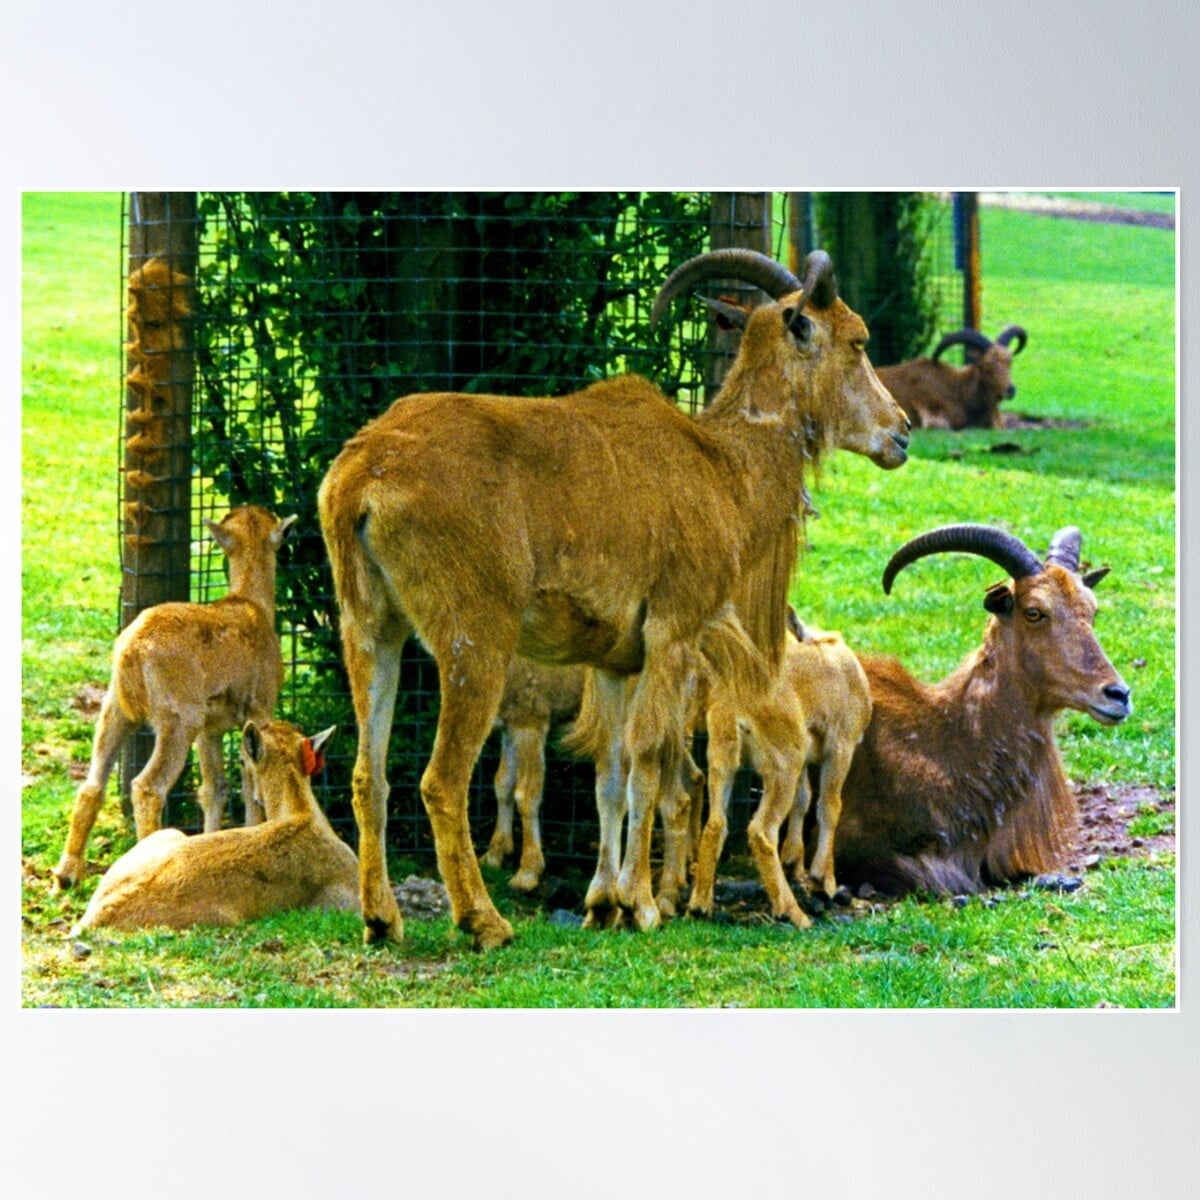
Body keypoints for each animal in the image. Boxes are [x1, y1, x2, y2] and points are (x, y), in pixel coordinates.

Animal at [52, 506, 296, 890]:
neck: (251, 606)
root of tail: (133, 652)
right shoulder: (259, 710)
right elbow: (250, 785)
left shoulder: (211, 728)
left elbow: (214, 788)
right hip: (178, 718)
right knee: (147, 787)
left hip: (117, 707)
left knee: (92, 783)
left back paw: (67, 874)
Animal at [479, 659, 584, 891]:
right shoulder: (509, 724)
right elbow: (503, 784)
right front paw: (493, 857)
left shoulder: (531, 717)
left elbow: (526, 795)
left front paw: (526, 874)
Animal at [687, 611, 872, 927]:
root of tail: (737, 705)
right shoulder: (840, 747)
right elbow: (830, 806)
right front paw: (825, 882)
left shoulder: (806, 756)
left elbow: (803, 800)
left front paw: (793, 862)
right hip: (782, 762)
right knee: (761, 831)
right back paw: (792, 912)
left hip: (723, 759)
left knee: (715, 824)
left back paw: (700, 905)